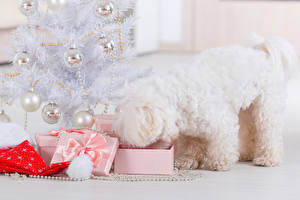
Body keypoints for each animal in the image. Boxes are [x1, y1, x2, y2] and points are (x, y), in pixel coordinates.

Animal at [113, 35, 298, 170]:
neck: (177, 96)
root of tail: (262, 53)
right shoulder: (191, 131)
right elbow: (191, 146)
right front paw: (186, 161)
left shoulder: (222, 121)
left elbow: (222, 143)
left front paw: (219, 163)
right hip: (246, 110)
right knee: (250, 131)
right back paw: (246, 154)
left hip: (266, 108)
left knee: (269, 133)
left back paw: (268, 158)